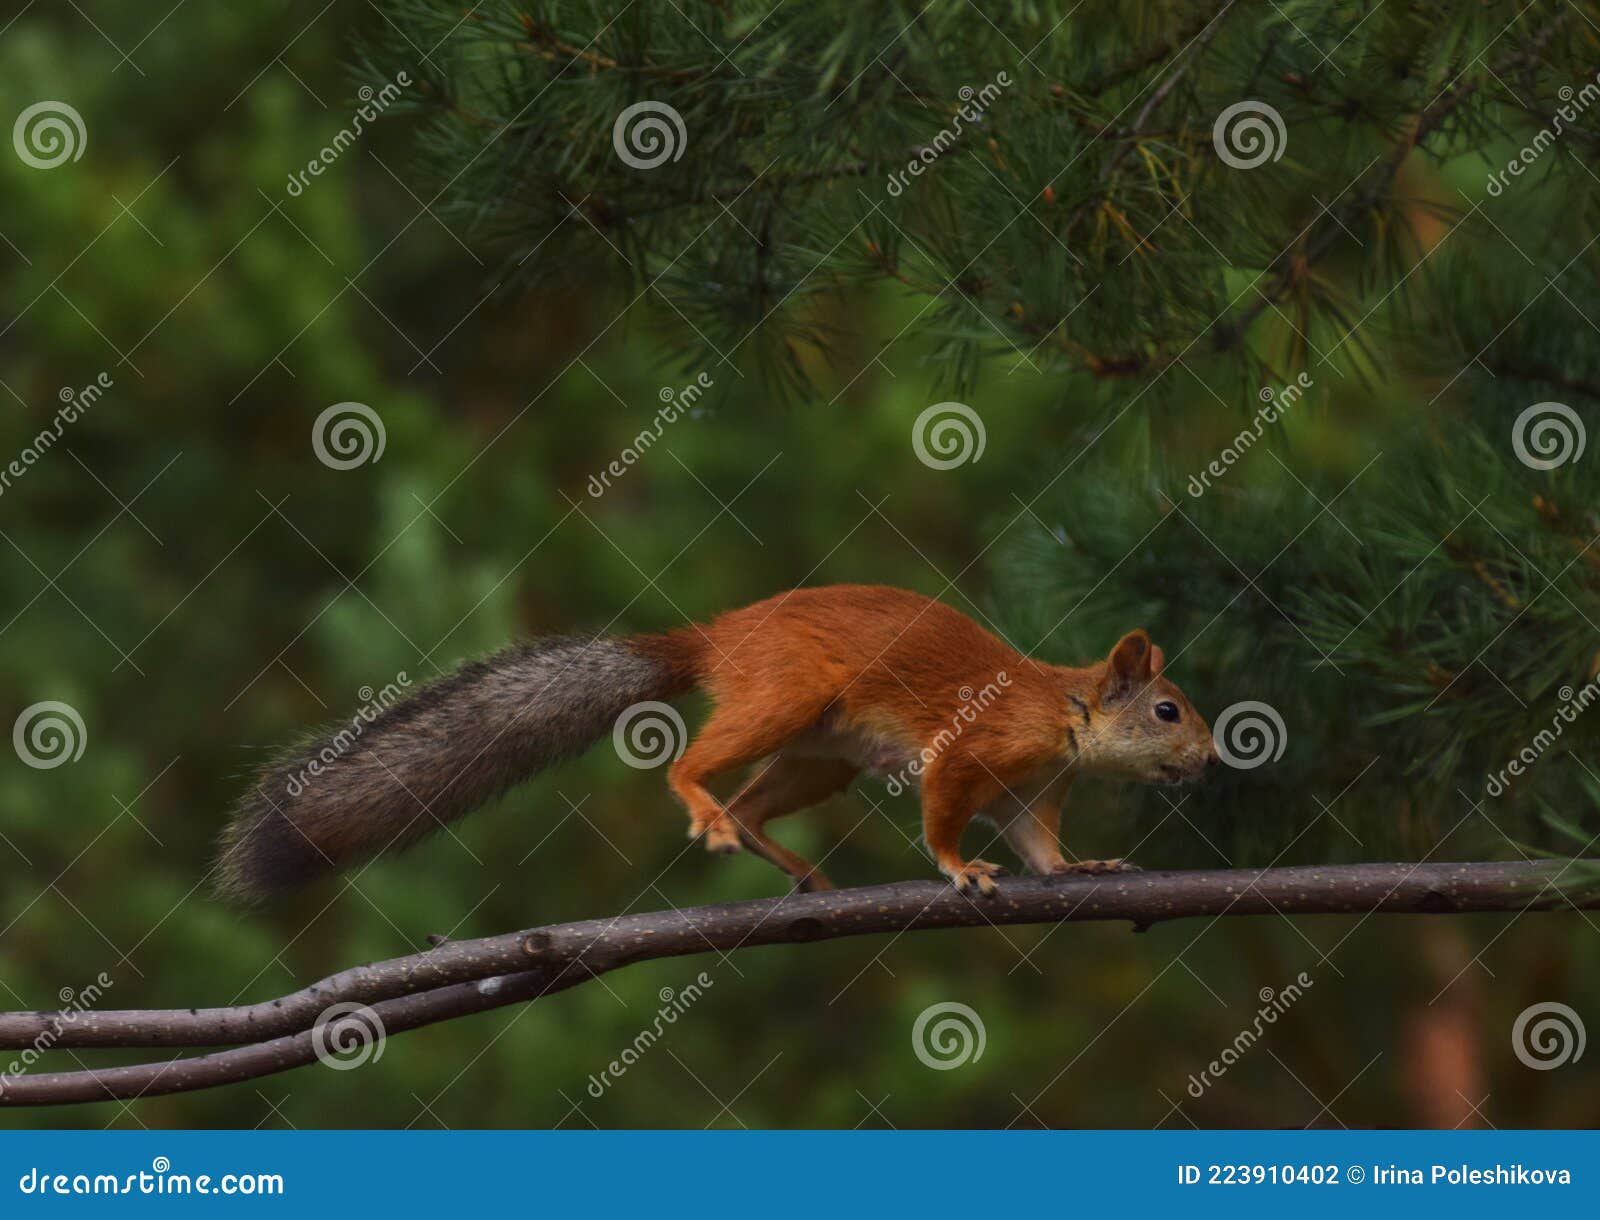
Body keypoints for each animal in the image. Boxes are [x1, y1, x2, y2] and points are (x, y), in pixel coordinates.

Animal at [215, 583, 1217, 902]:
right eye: (1169, 711)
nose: (1213, 761)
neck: (1066, 712)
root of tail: (713, 638)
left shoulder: (1031, 791)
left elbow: (1043, 849)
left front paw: (1083, 869)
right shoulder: (969, 754)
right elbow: (943, 818)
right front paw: (958, 867)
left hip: (817, 759)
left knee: (754, 802)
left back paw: (796, 869)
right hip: (783, 698)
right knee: (689, 766)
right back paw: (705, 810)